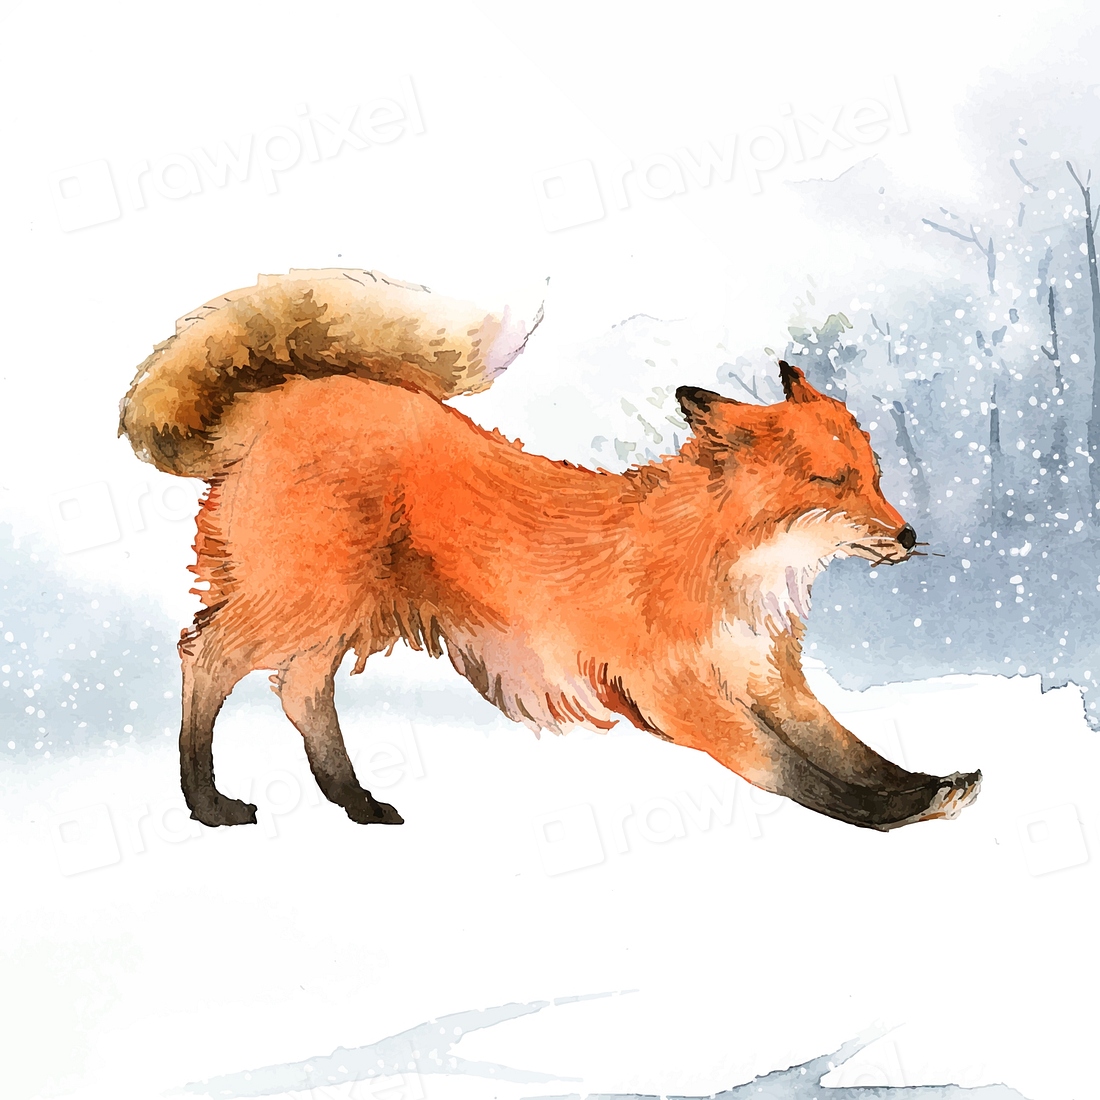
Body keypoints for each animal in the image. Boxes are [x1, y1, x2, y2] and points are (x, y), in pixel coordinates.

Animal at [119, 268, 981, 832]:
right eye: (829, 482)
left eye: (874, 475)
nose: (908, 535)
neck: (728, 563)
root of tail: (283, 396)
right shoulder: (679, 695)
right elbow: (800, 776)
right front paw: (884, 818)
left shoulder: (769, 680)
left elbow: (857, 754)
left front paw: (926, 789)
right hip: (305, 602)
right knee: (203, 656)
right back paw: (206, 802)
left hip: (335, 614)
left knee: (299, 693)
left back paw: (355, 802)